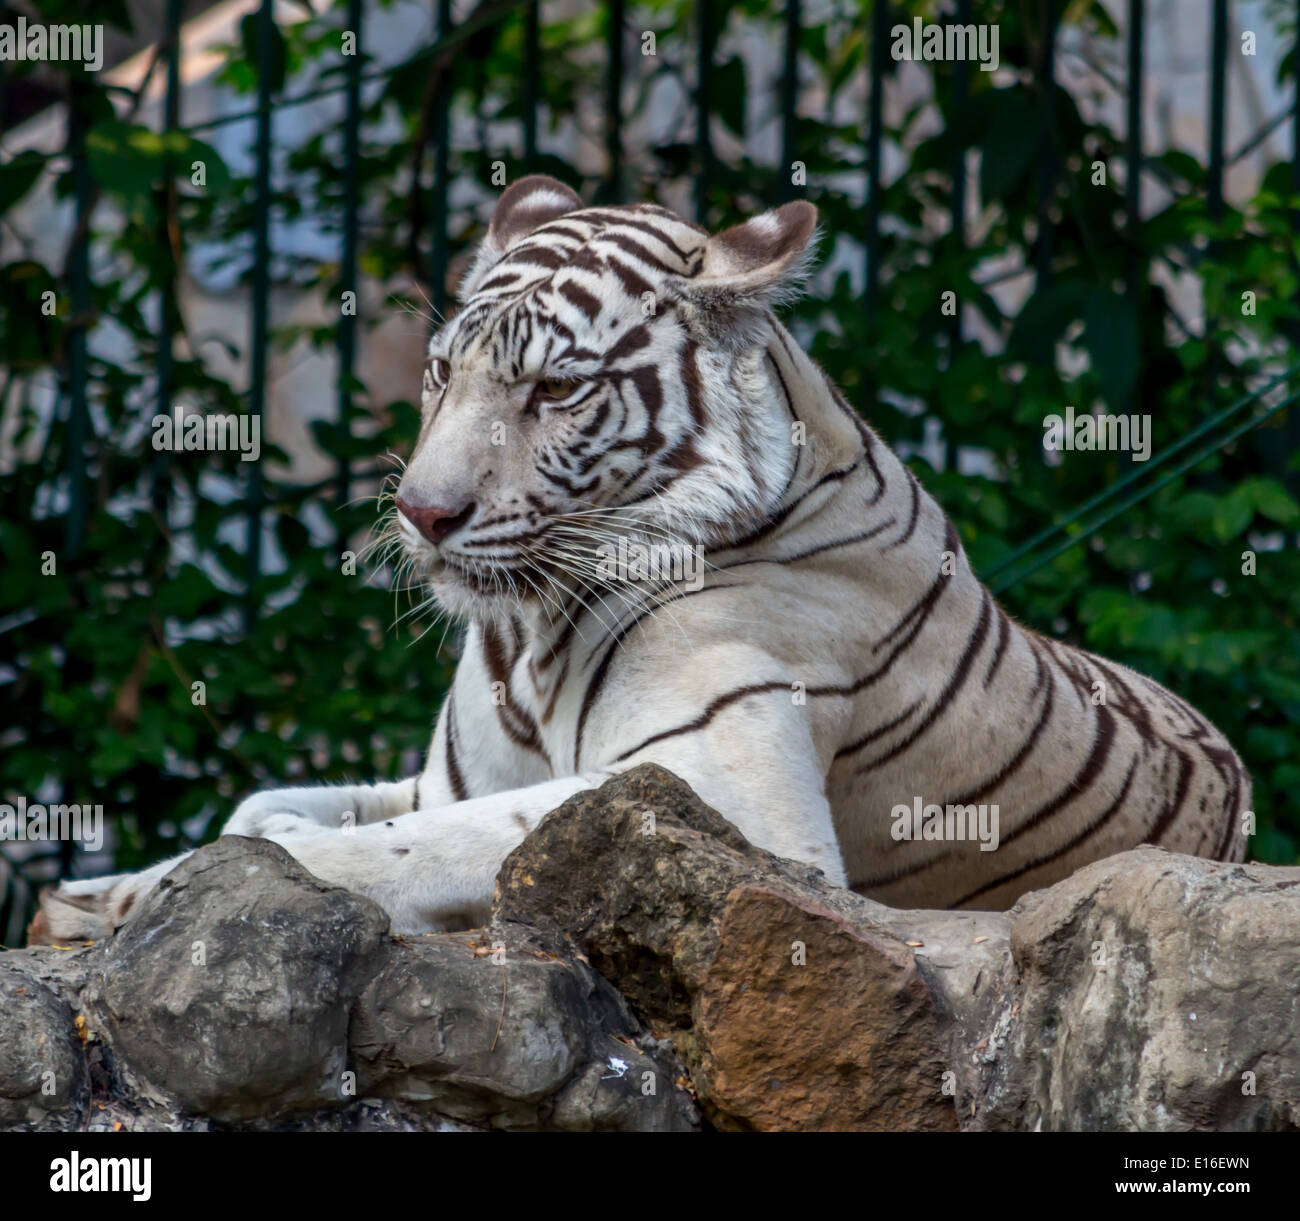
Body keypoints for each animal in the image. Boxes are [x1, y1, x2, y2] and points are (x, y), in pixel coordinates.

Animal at [29, 175, 1250, 945]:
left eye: (557, 388)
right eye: (442, 370)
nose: (423, 511)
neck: (523, 629)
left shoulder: (737, 801)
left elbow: (425, 842)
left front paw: (212, 876)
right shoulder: (440, 775)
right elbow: (266, 806)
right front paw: (109, 889)